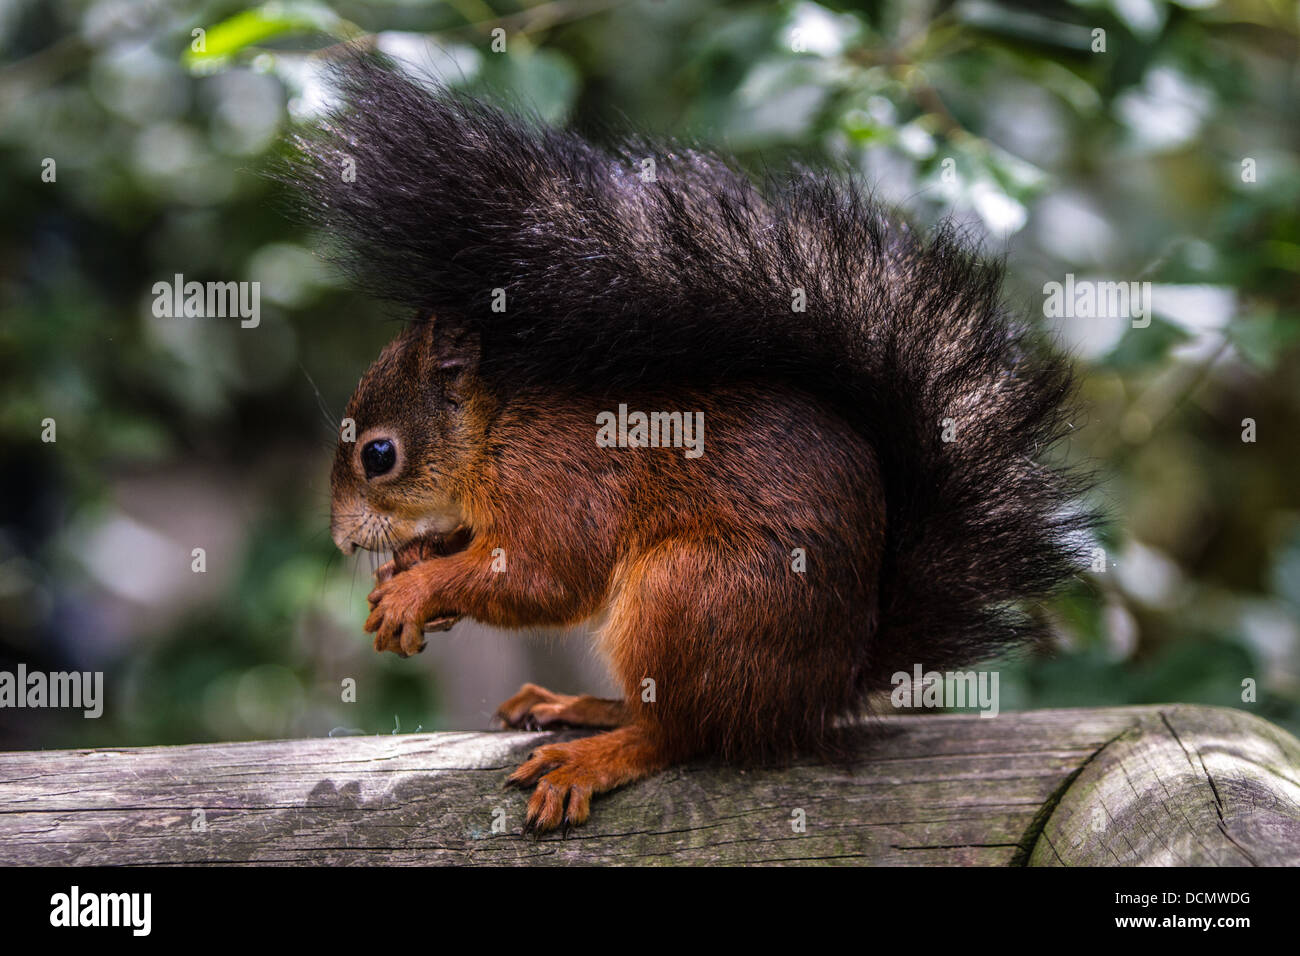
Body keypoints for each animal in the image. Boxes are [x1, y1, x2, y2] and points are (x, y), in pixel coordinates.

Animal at [284, 56, 1093, 834]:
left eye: (378, 456)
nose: (341, 539)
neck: (498, 427)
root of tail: (819, 692)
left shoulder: (558, 482)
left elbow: (549, 578)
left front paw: (416, 588)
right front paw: (411, 564)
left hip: (692, 593)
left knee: (682, 734)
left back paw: (595, 754)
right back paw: (577, 708)